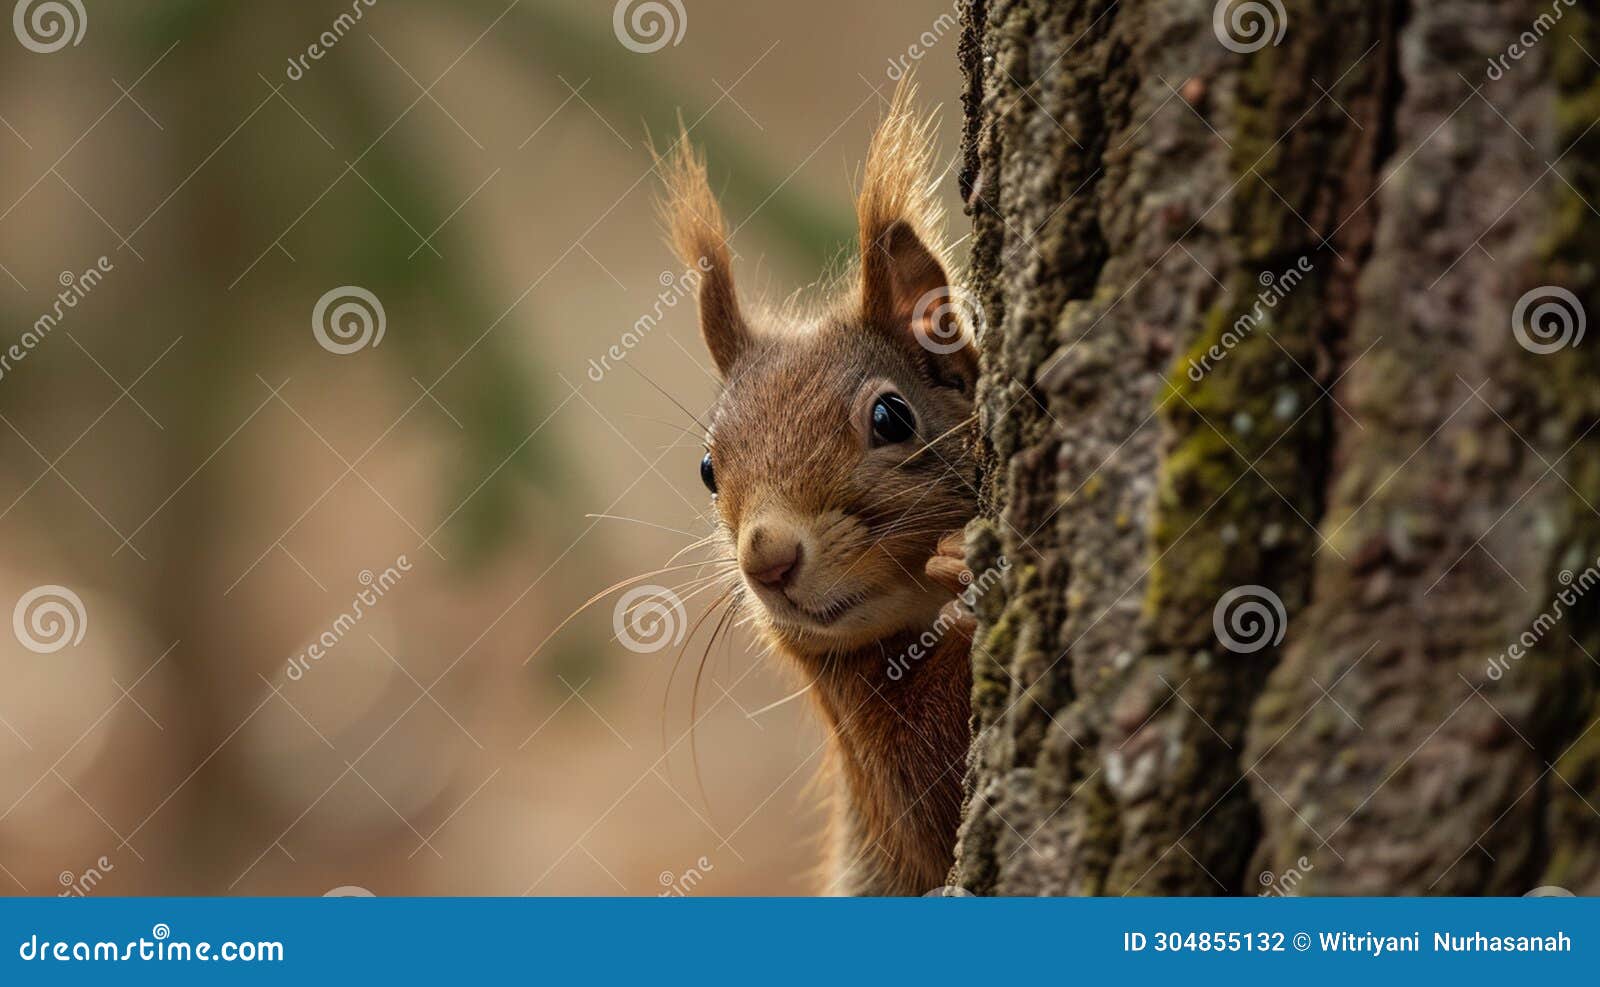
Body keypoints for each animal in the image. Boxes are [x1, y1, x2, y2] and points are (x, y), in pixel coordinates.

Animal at [657, 82, 982, 896]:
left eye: (892, 416)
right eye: (708, 469)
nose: (766, 559)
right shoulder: (879, 757)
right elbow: (939, 790)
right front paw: (966, 562)